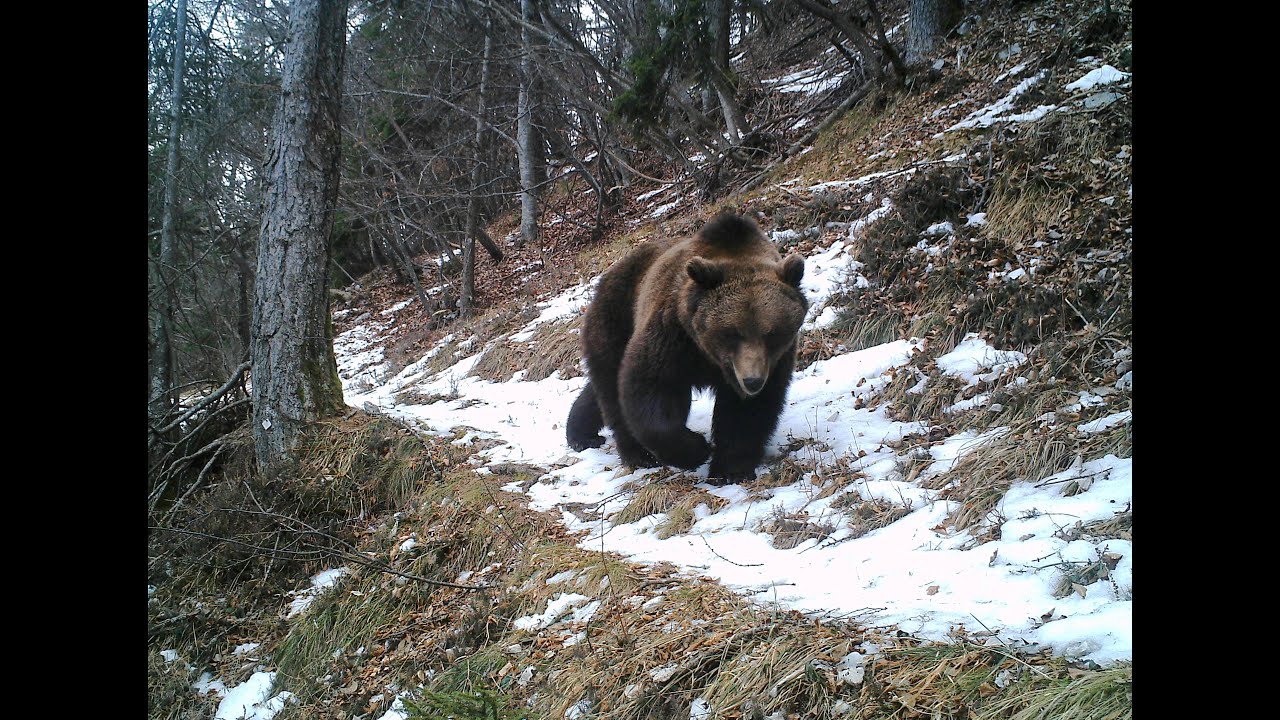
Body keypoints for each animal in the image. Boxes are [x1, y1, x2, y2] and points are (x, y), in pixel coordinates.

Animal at [565, 212, 808, 484]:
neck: (708, 353)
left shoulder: (774, 360)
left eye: (772, 334)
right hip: (616, 315)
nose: (752, 381)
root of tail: (610, 270)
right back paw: (634, 454)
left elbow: (749, 411)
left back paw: (581, 433)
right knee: (610, 386)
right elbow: (651, 388)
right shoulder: (673, 334)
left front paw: (730, 470)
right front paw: (697, 448)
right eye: (732, 333)